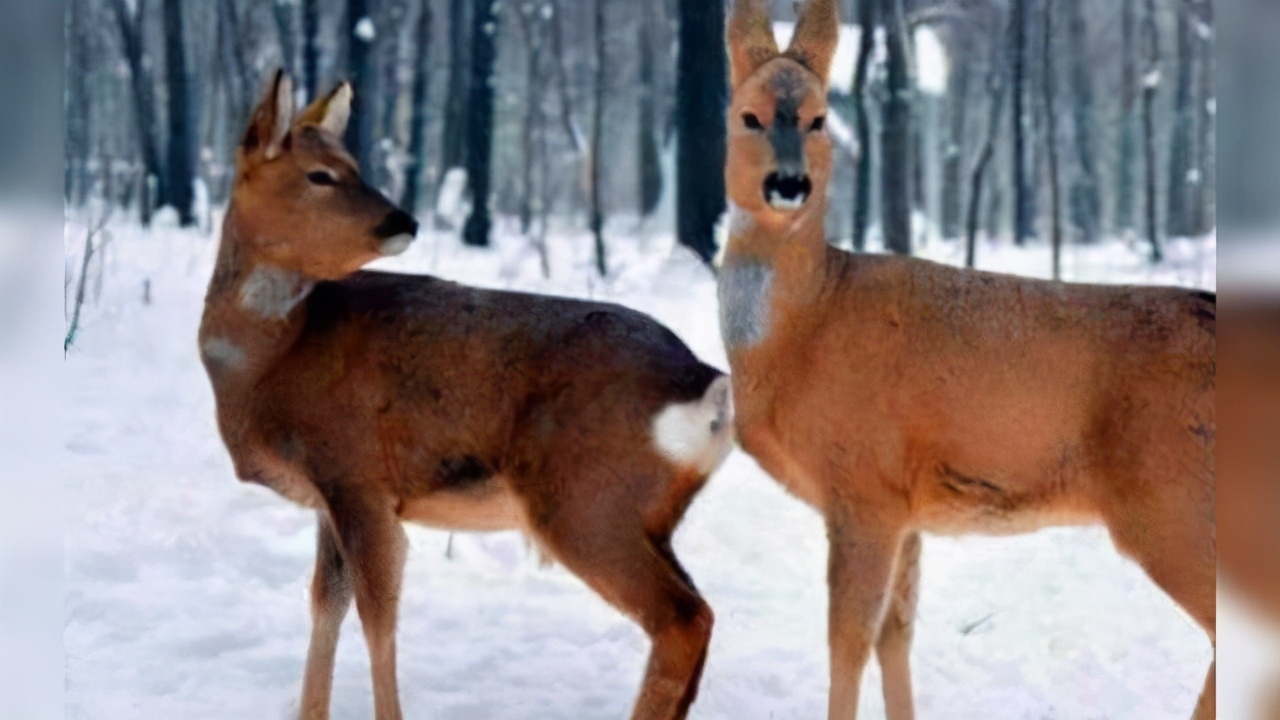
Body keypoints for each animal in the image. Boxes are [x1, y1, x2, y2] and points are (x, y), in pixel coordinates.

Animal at [198, 70, 733, 720]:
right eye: (320, 174)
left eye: (352, 165)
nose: (402, 220)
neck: (273, 358)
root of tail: (704, 385)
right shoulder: (329, 494)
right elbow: (327, 604)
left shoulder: (357, 475)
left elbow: (377, 616)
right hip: (647, 514)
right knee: (700, 615)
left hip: (586, 503)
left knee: (682, 618)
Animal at [719, 1, 1216, 718]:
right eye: (747, 115)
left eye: (818, 118)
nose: (789, 184)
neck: (806, 326)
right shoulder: (905, 505)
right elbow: (894, 635)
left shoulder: (863, 483)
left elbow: (848, 640)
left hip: (1172, 500)